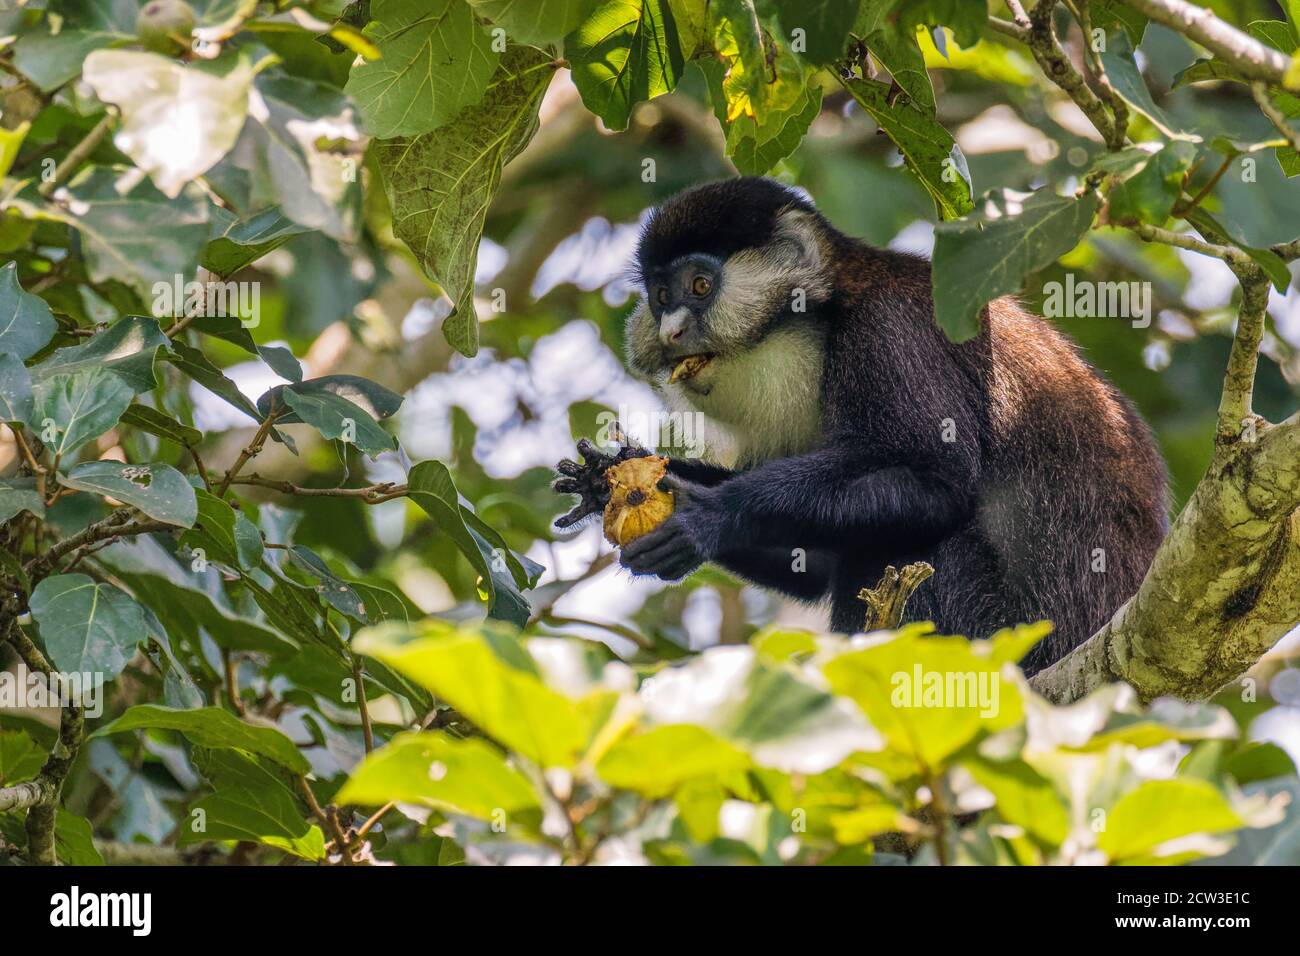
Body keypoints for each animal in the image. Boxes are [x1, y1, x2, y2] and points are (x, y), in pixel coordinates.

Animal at [553, 177, 1168, 675]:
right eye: (660, 297)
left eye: (699, 286)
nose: (672, 330)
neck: (822, 320)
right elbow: (813, 563)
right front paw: (605, 478)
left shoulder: (890, 331)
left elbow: (937, 483)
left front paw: (707, 516)